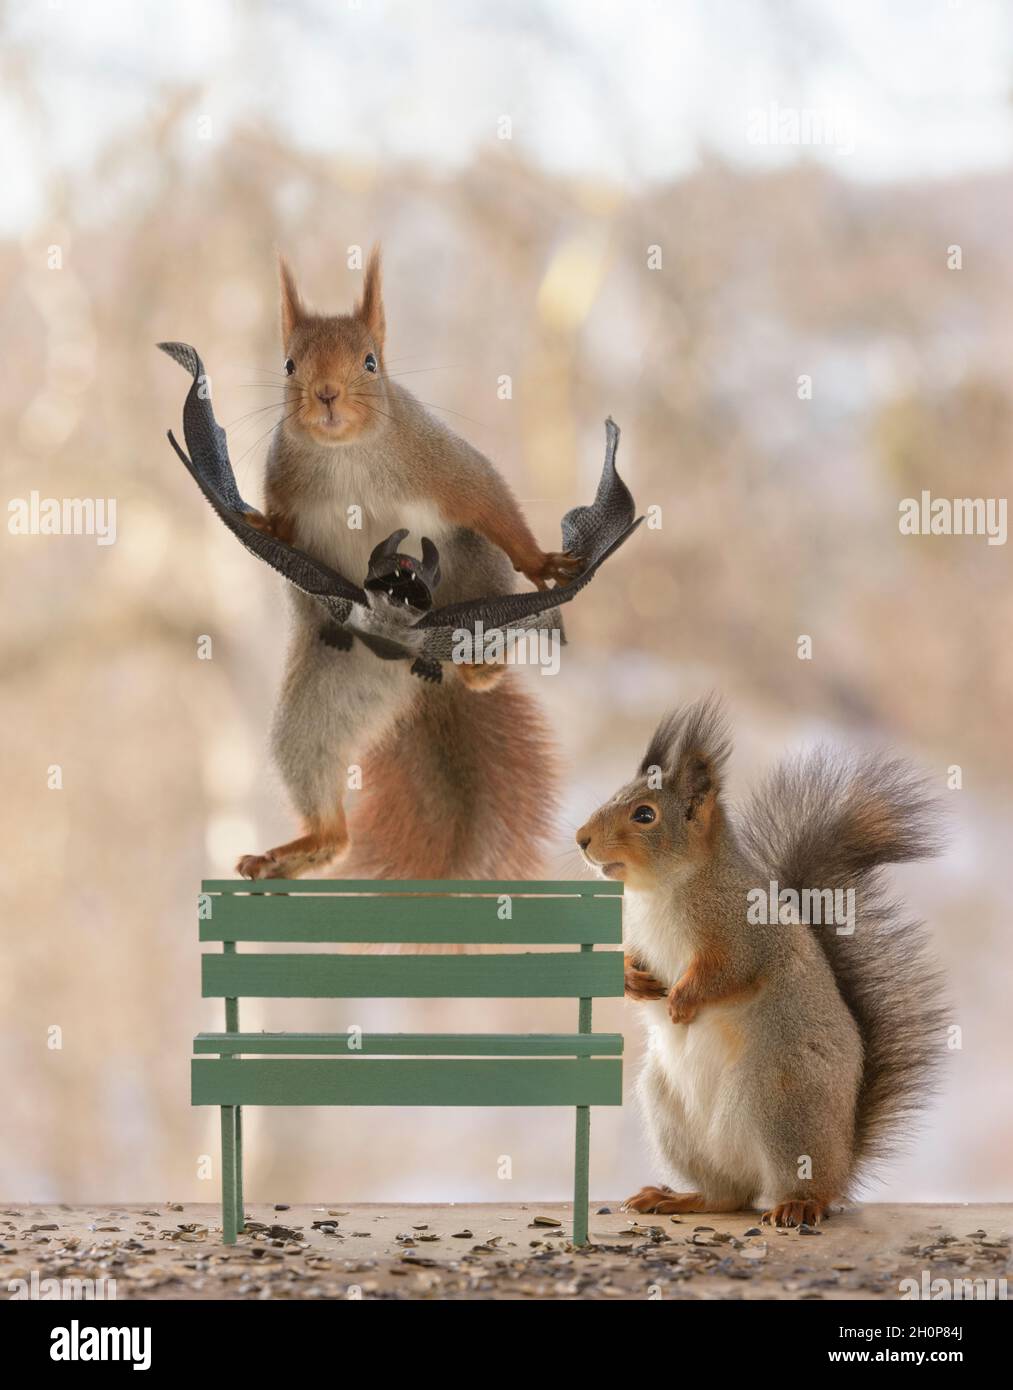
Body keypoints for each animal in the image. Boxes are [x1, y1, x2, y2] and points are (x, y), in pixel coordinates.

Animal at [237, 247, 573, 881]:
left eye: (370, 362)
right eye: (289, 365)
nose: (326, 394)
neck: (345, 454)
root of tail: (421, 671)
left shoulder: (439, 463)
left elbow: (487, 501)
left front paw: (540, 560)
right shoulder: (281, 483)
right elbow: (282, 527)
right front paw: (260, 526)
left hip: (472, 571)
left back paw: (482, 666)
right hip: (324, 698)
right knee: (327, 804)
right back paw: (300, 850)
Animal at [576, 696, 947, 1227]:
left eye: (645, 814)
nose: (582, 838)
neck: (661, 889)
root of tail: (843, 1159)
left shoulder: (743, 935)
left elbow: (726, 972)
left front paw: (681, 1002)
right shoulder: (639, 935)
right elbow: (633, 960)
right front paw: (634, 983)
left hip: (782, 1102)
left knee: (802, 1185)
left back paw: (799, 1204)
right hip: (669, 1110)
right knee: (727, 1196)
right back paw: (681, 1198)